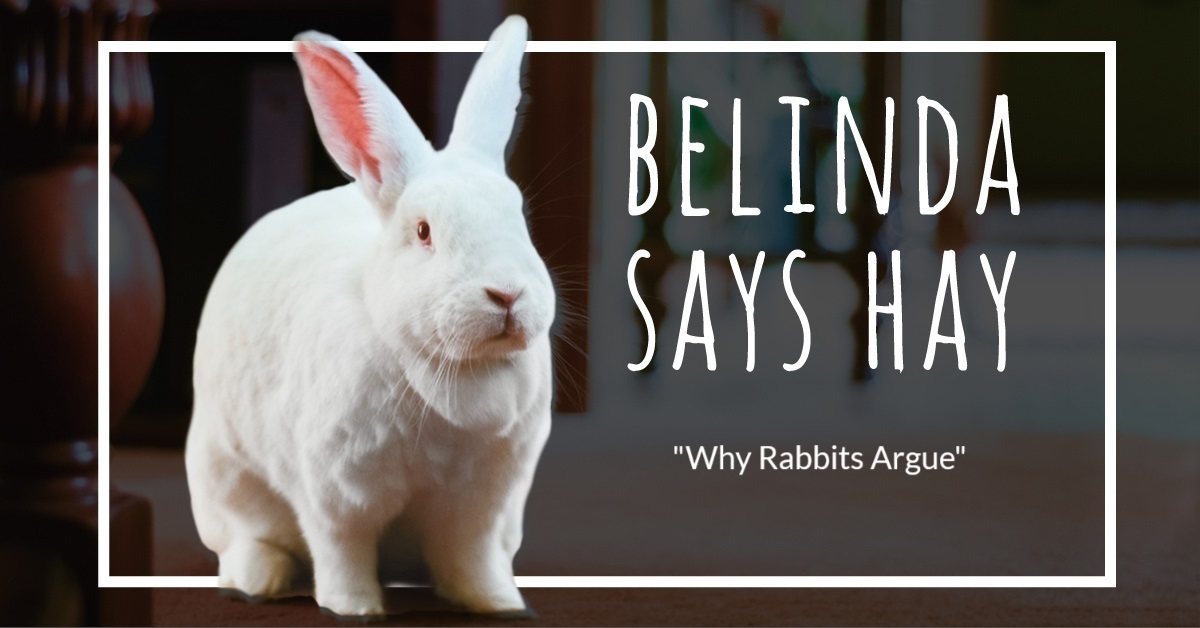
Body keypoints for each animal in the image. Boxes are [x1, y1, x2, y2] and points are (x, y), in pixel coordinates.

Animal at [184, 15, 555, 618]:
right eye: (424, 232)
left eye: (517, 216)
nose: (507, 294)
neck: (450, 370)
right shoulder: (338, 490)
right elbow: (343, 550)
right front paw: (355, 608)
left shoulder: (481, 503)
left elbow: (470, 557)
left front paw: (500, 604)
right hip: (224, 475)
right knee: (247, 537)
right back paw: (256, 581)